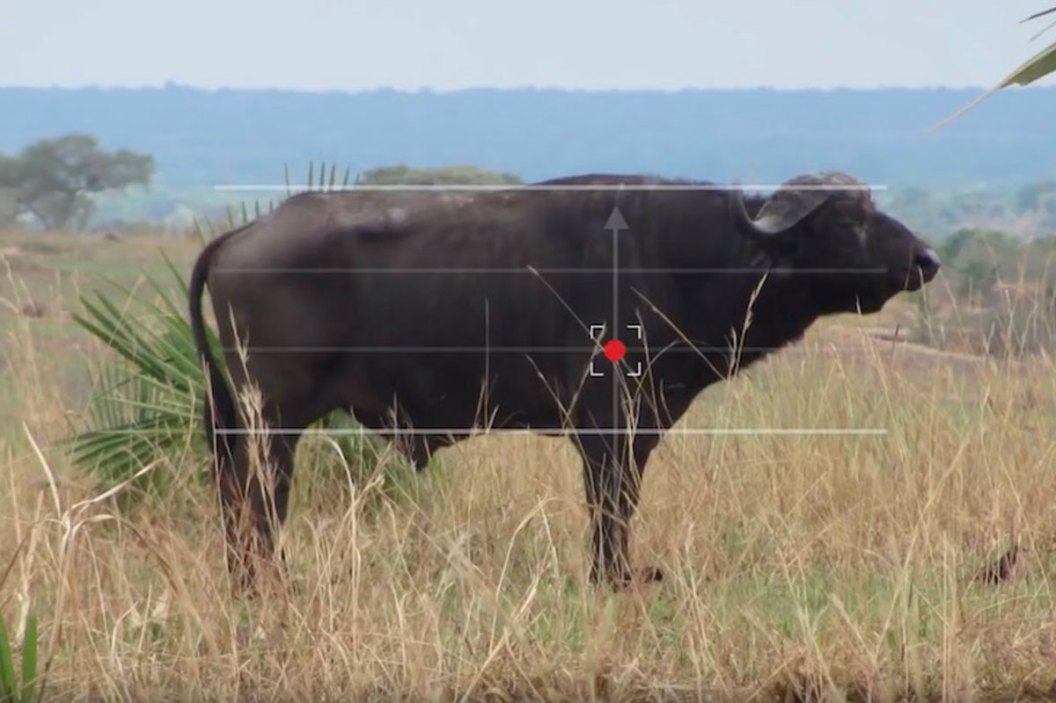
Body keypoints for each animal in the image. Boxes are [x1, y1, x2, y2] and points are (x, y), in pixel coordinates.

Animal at [189, 171, 940, 590]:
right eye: (848, 220)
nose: (926, 258)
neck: (688, 259)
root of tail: (241, 235)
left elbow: (618, 505)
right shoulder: (608, 425)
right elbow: (611, 506)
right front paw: (613, 578)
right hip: (273, 420)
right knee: (258, 503)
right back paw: (273, 584)